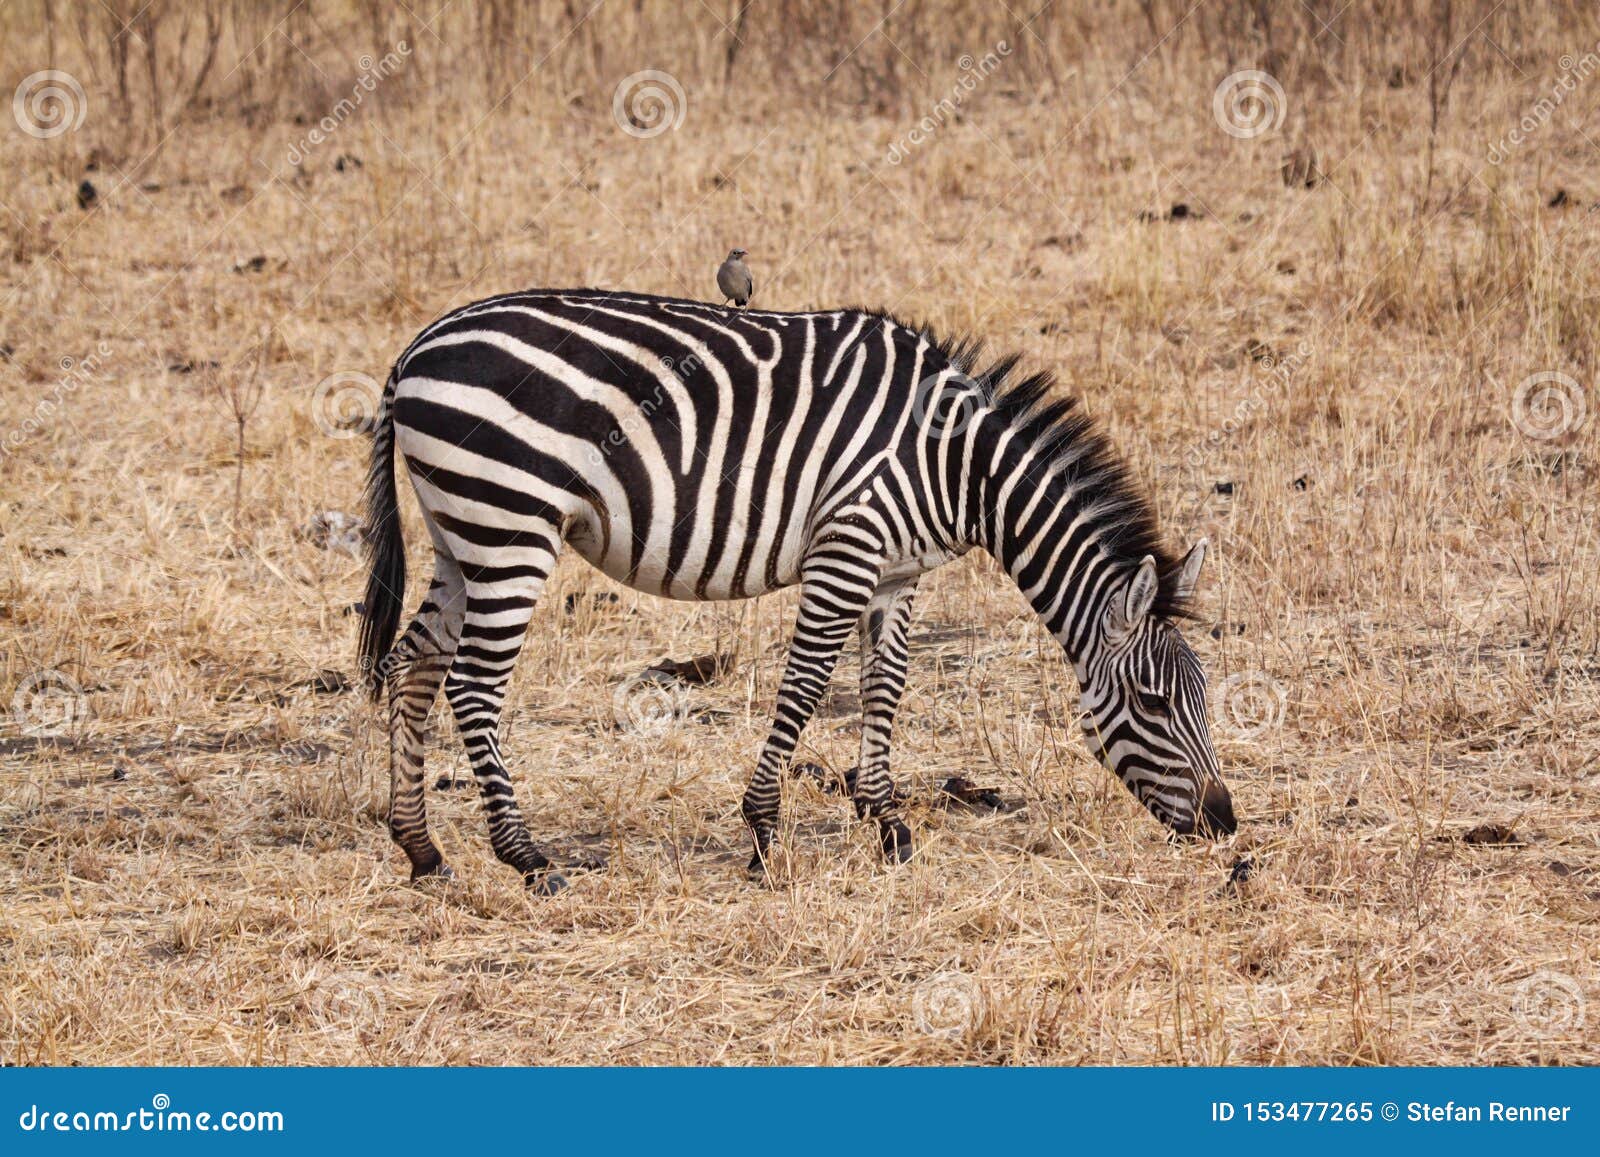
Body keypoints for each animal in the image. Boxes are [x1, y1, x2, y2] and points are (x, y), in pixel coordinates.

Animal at [359, 288, 1236, 893]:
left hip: (462, 535)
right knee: (473, 686)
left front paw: (887, 824)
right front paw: (763, 829)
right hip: (510, 524)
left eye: (1204, 697)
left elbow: (885, 686)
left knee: (412, 664)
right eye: (1155, 703)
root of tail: (416, 350)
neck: (956, 464)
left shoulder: (896, 573)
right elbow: (808, 684)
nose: (1223, 822)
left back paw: (421, 847)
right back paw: (526, 856)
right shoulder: (846, 547)